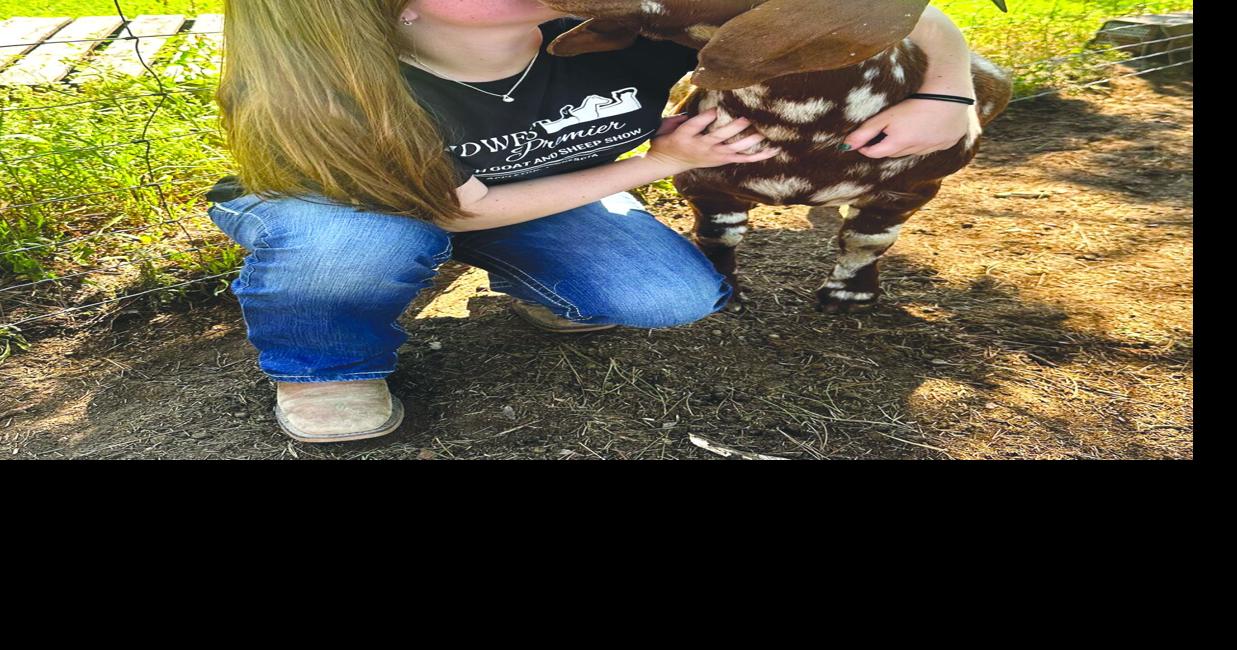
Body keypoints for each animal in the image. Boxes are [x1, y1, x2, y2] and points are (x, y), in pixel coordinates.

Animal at [538, 0, 1013, 313]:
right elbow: (720, 232)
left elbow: (869, 239)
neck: (801, 127)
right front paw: (727, 292)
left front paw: (848, 297)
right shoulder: (702, 180)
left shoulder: (913, 186)